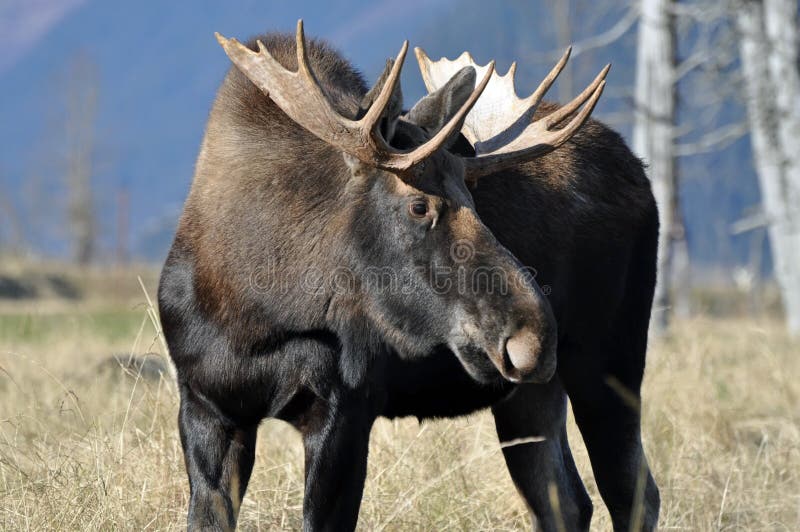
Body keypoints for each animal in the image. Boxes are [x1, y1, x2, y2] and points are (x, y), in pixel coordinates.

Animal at [158, 20, 660, 531]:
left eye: (475, 197)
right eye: (420, 205)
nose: (535, 335)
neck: (255, 317)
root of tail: (640, 172)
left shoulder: (346, 408)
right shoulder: (205, 409)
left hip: (609, 361)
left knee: (634, 494)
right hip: (529, 396)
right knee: (567, 502)